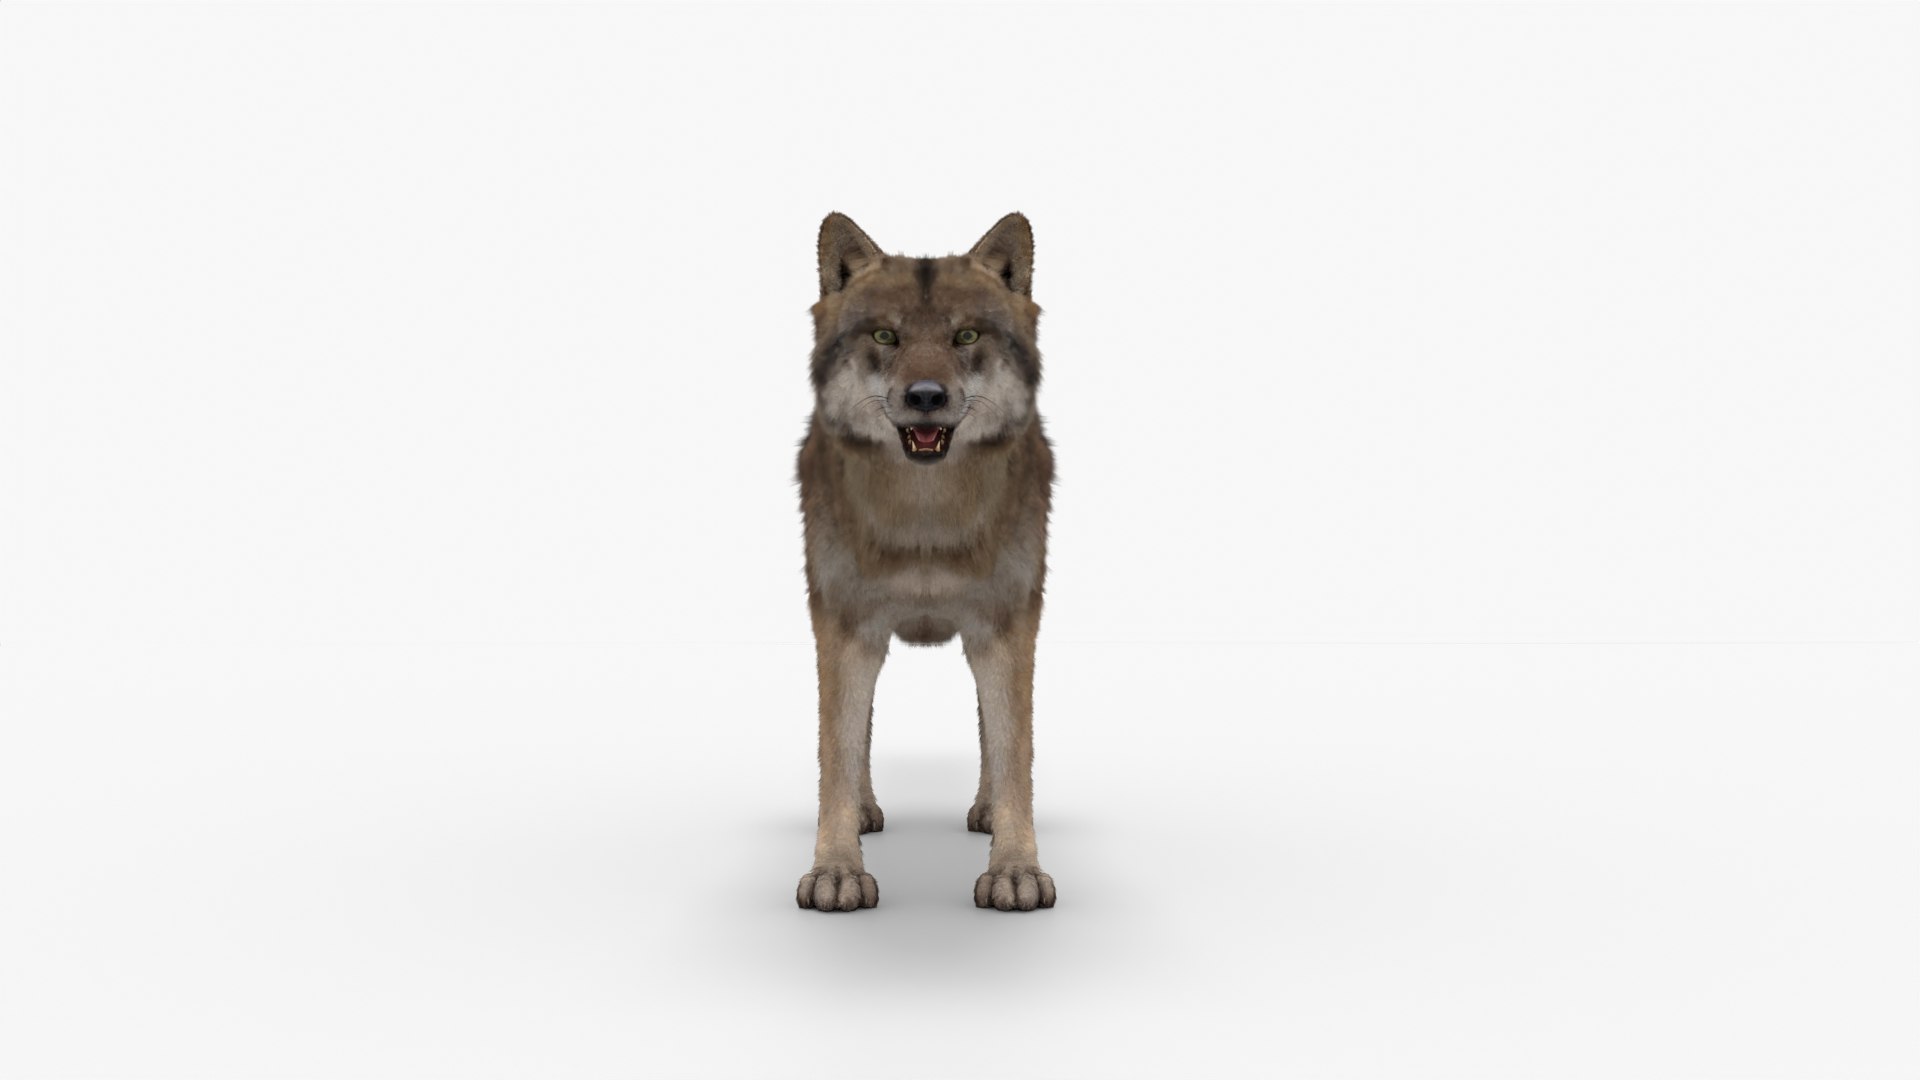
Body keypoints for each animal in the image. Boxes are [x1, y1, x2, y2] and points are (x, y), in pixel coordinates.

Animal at [794, 212, 1057, 912]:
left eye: (965, 335)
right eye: (887, 335)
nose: (926, 397)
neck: (926, 523)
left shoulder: (1006, 626)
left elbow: (1013, 746)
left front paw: (1015, 870)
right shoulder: (844, 626)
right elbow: (838, 746)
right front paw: (836, 871)